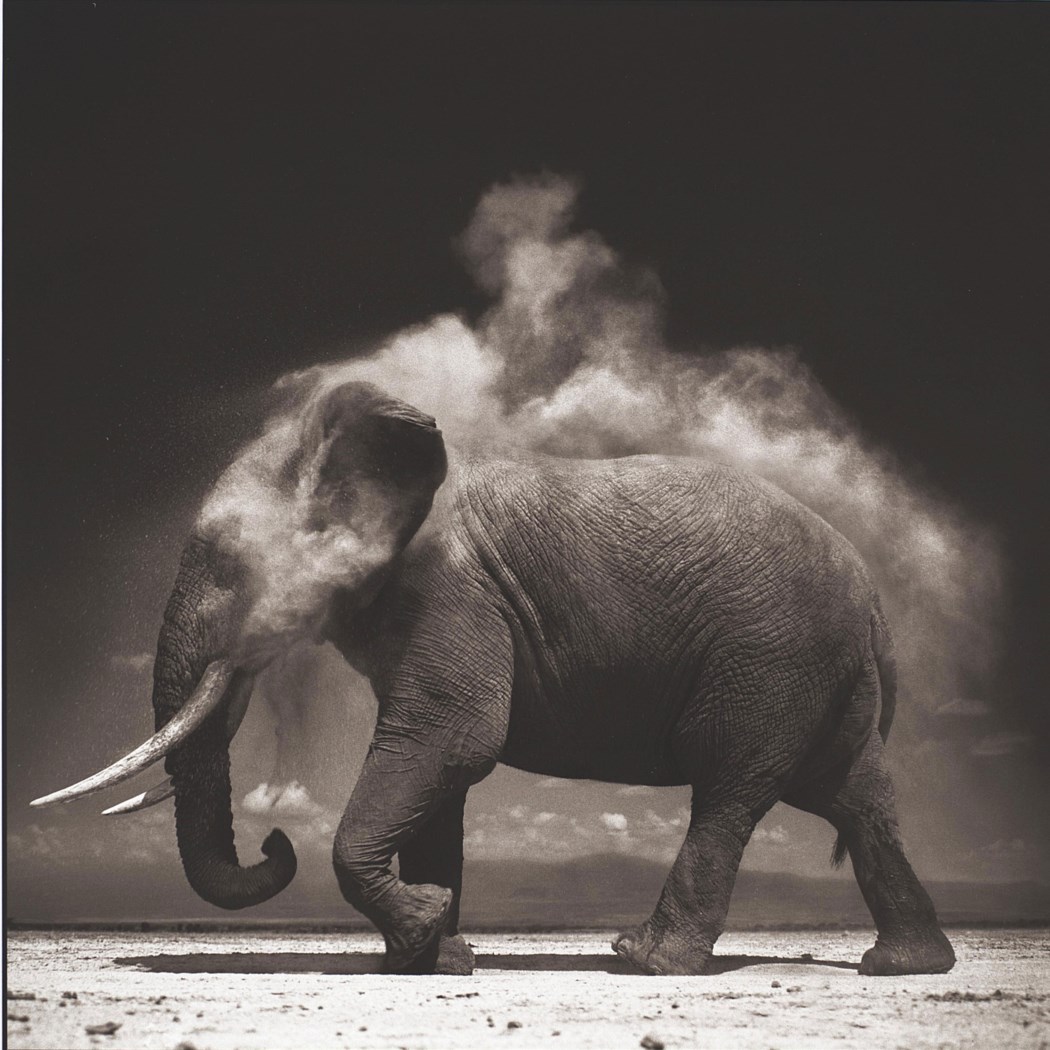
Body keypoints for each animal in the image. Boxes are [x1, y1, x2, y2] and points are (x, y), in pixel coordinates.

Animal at [33, 379, 956, 977]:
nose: (273, 841)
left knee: (731, 789)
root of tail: (874, 601)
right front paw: (434, 956)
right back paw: (903, 967)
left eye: (229, 561)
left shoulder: (454, 593)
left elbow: (452, 741)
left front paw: (423, 932)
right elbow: (439, 774)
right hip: (818, 672)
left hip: (770, 658)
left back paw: (644, 961)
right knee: (853, 798)